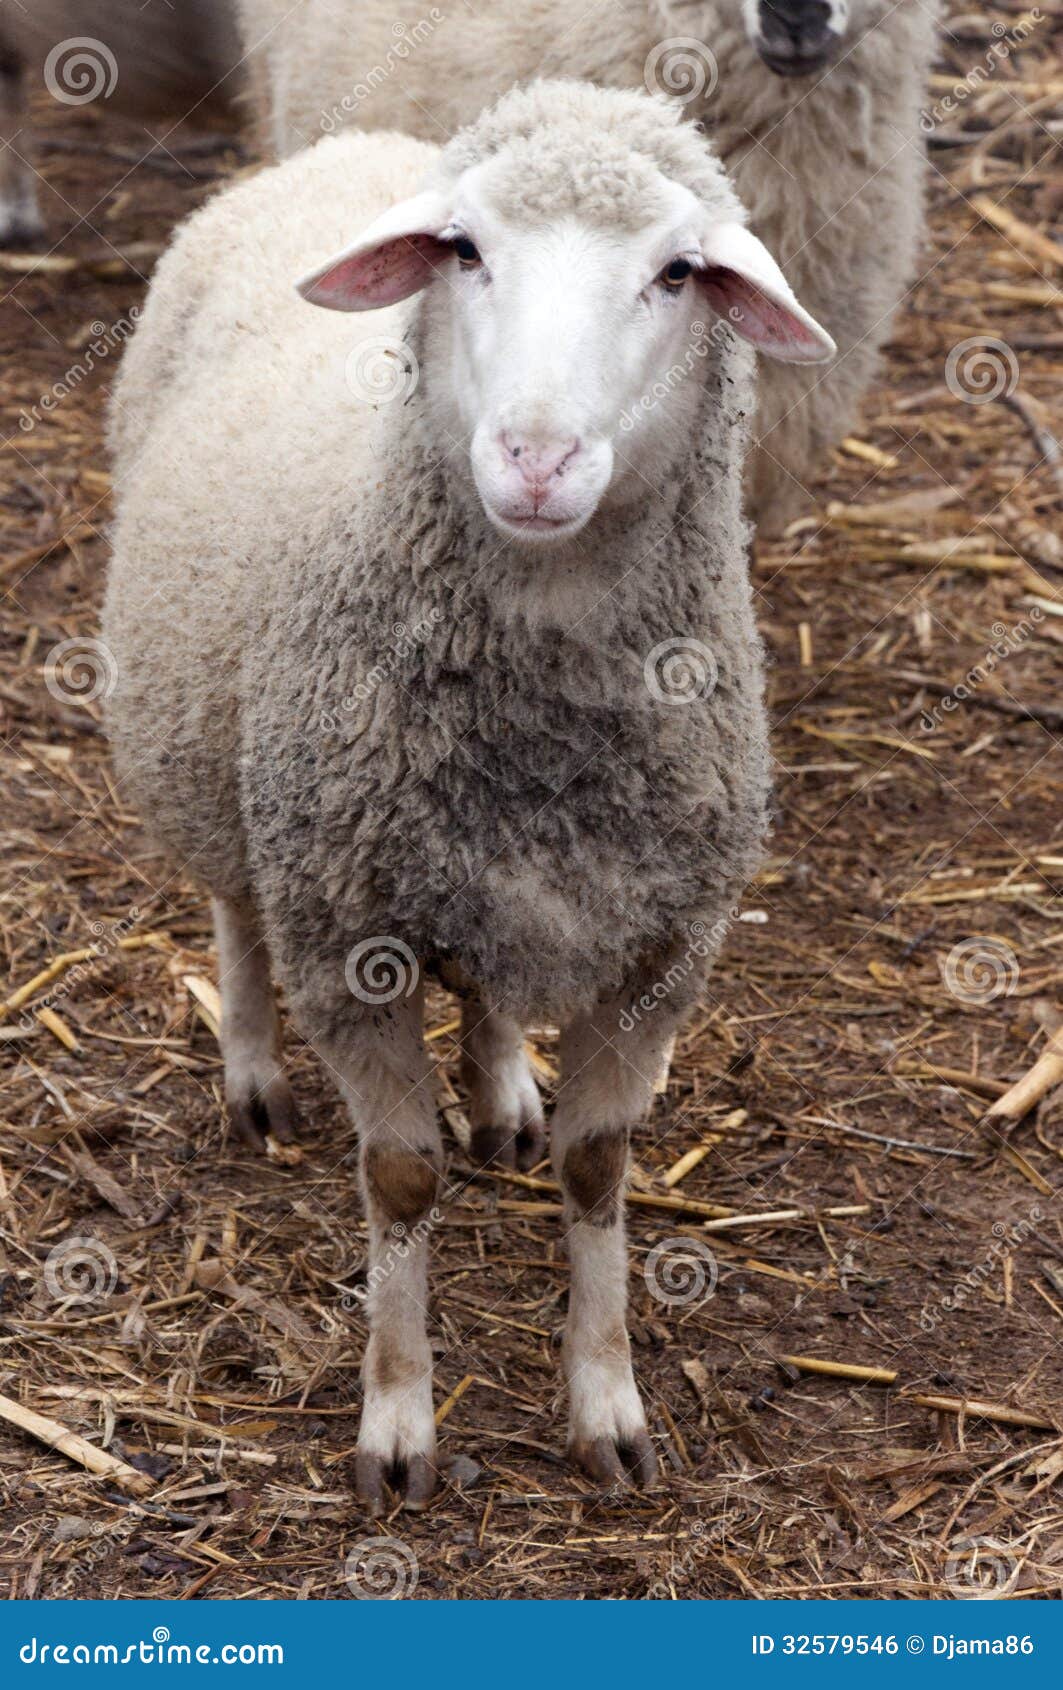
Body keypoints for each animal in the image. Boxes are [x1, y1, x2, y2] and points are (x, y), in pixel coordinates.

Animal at [103, 79, 833, 1506]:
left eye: (678, 272)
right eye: (464, 251)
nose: (536, 456)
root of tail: (350, 144)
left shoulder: (660, 953)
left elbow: (600, 1170)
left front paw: (606, 1404)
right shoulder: (347, 935)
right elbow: (396, 1178)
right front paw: (398, 1425)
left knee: (488, 989)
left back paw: (500, 1090)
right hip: (218, 762)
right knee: (234, 909)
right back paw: (253, 1069)